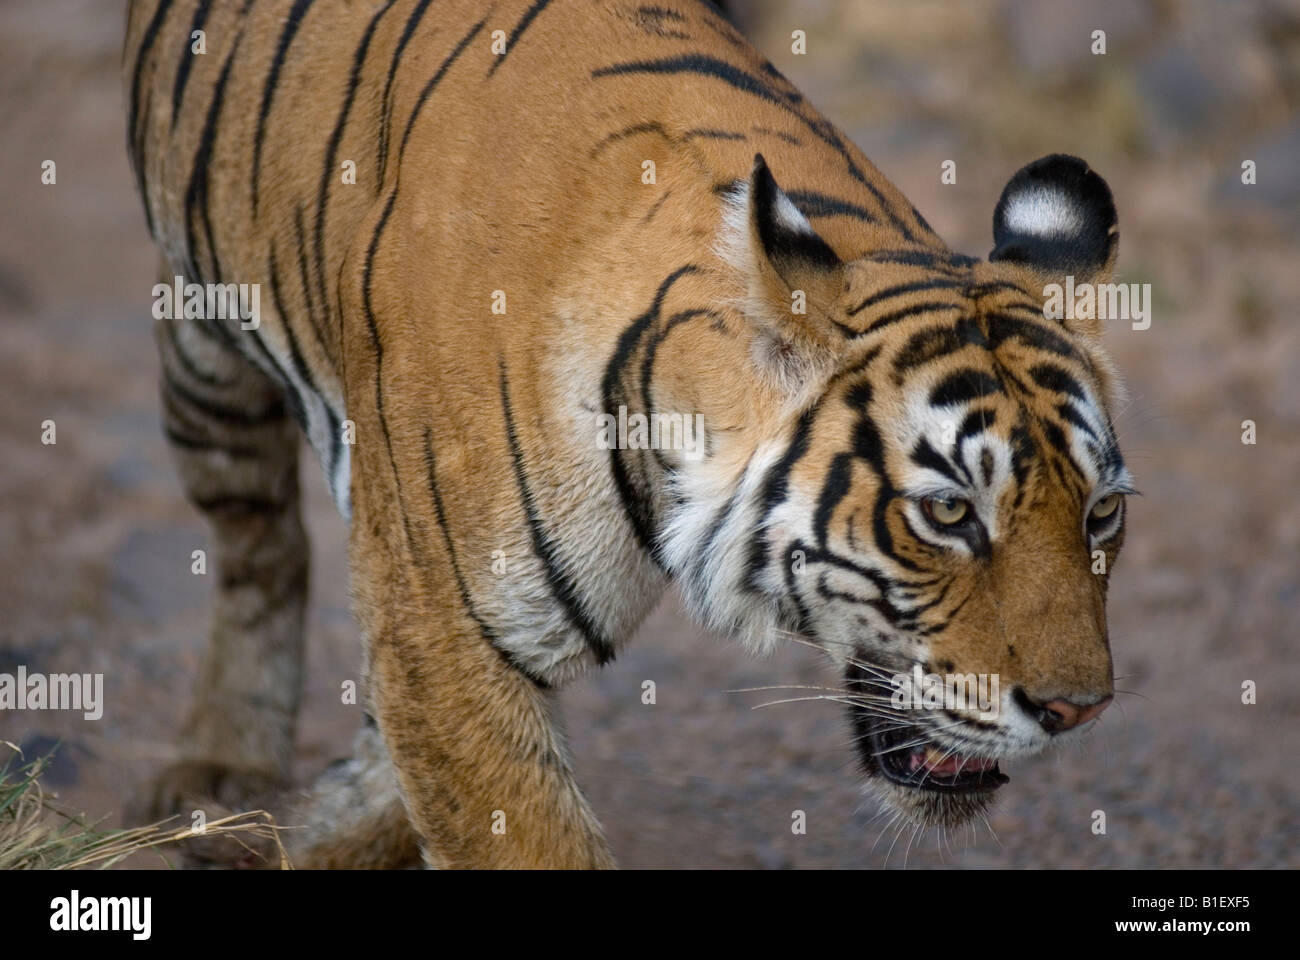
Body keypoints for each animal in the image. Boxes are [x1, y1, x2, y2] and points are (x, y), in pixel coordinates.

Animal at [123, 0, 1131, 869]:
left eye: (1102, 516)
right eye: (950, 514)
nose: (1078, 713)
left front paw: (310, 830)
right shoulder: (444, 624)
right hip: (204, 355)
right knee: (259, 542)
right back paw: (222, 765)